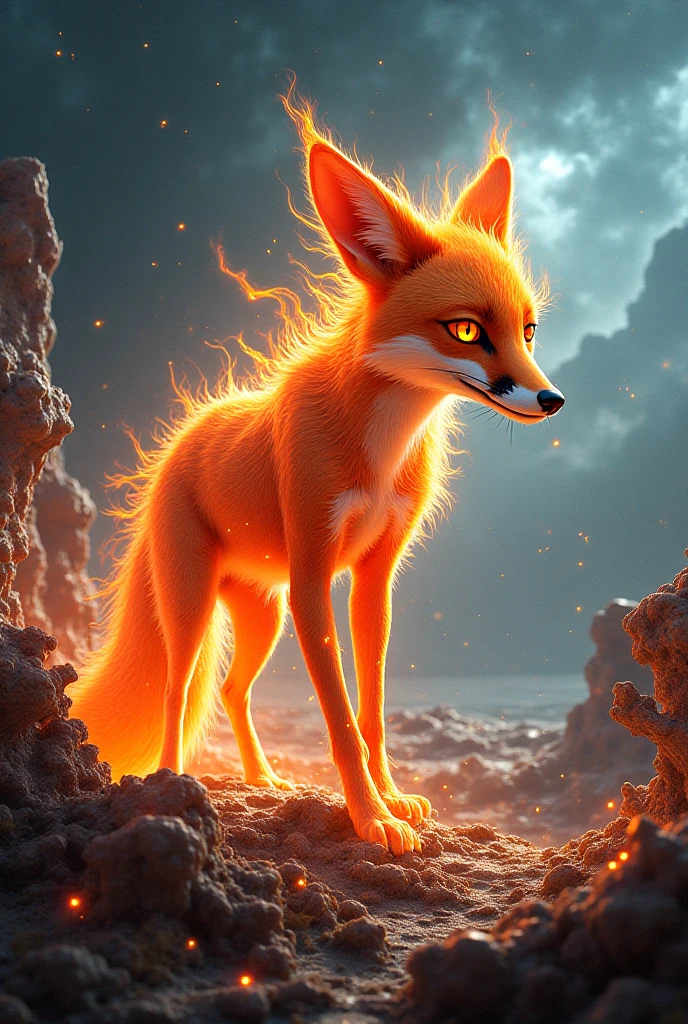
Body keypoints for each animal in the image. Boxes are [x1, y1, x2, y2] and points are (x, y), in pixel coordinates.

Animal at [69, 86, 564, 855]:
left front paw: (392, 799)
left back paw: (264, 780)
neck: (381, 452)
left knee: (233, 690)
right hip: (195, 605)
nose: (552, 399)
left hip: (263, 614)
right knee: (179, 693)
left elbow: (374, 712)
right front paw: (369, 819)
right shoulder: (311, 578)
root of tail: (179, 438)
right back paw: (174, 783)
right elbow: (339, 721)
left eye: (528, 331)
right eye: (467, 330)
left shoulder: (373, 578)